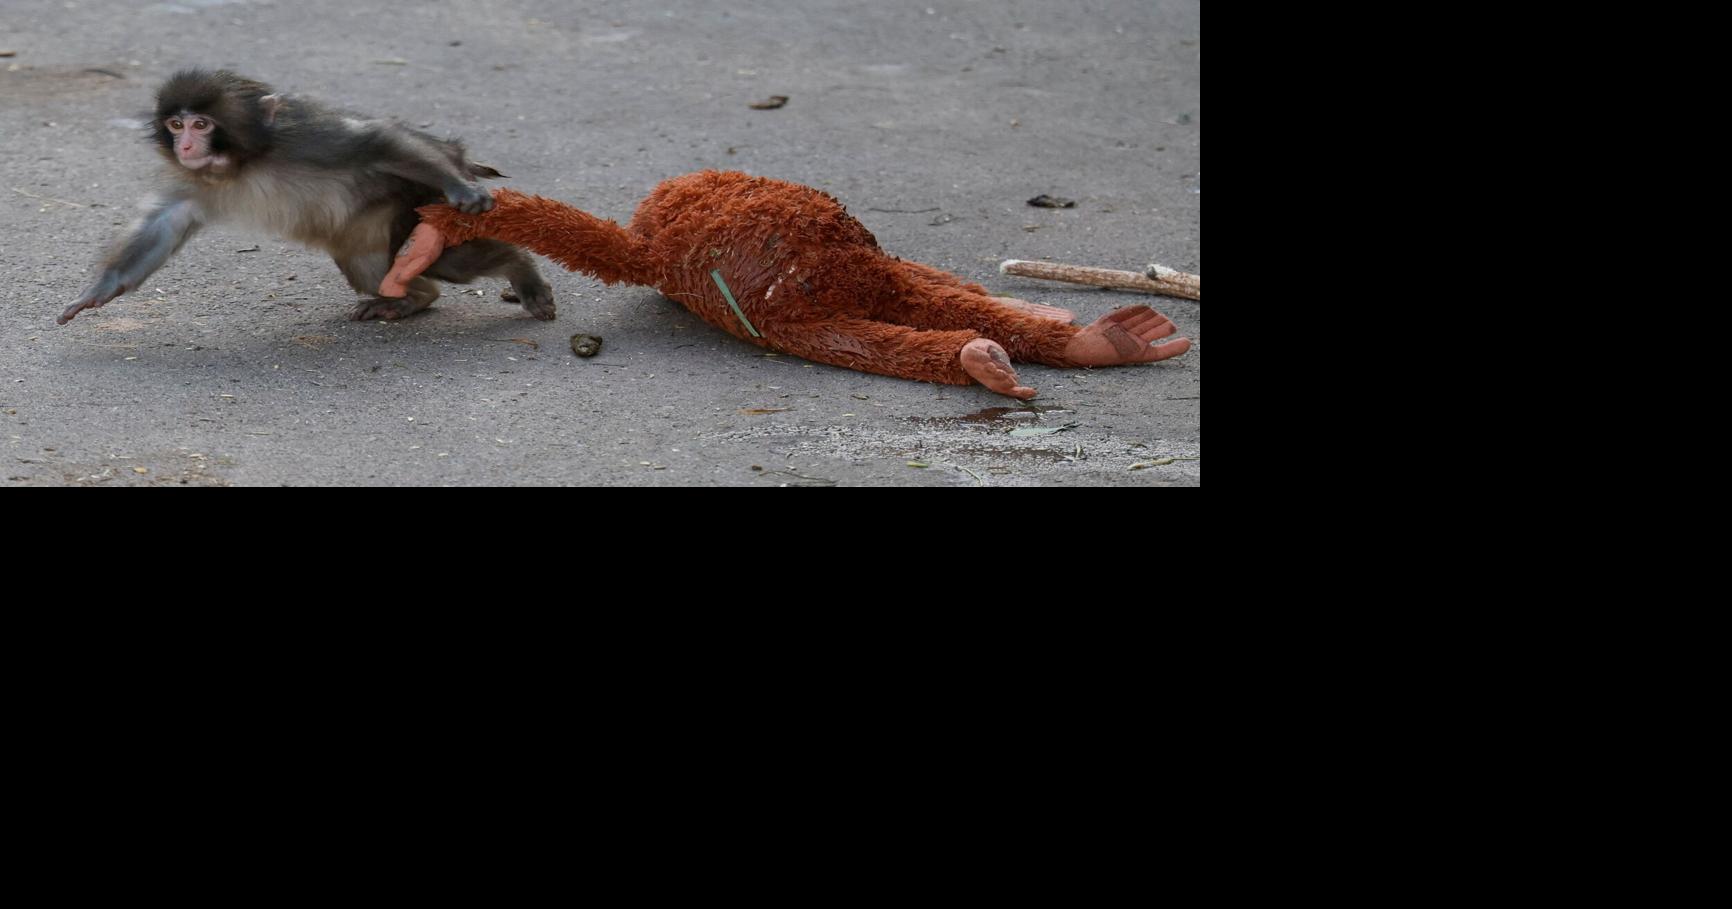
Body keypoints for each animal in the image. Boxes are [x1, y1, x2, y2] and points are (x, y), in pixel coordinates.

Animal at [58, 69, 554, 326]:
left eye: (201, 124)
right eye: (176, 125)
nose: (185, 145)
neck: (243, 163)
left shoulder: (304, 139)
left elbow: (373, 141)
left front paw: (464, 189)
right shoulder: (194, 179)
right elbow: (165, 222)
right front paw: (99, 290)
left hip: (420, 199)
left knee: (453, 259)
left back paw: (519, 268)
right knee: (371, 266)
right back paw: (415, 298)